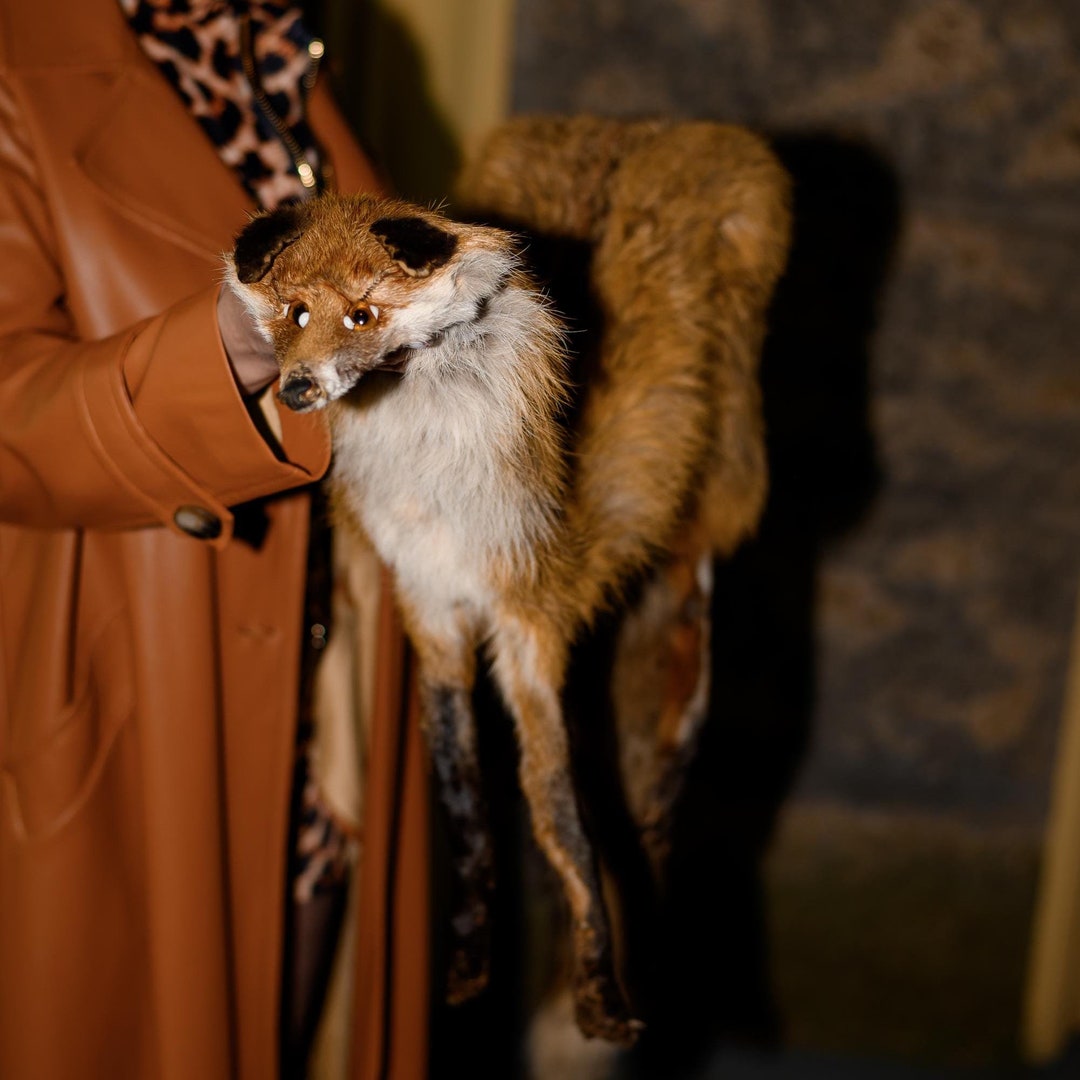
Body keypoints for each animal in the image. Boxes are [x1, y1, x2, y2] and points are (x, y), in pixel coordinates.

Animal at [225, 119, 790, 1045]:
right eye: (293, 313)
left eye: (363, 314)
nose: (301, 389)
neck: (439, 509)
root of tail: (642, 128)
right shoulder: (432, 611)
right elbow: (465, 801)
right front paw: (467, 961)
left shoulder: (530, 628)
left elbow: (558, 818)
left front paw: (601, 994)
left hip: (713, 528)